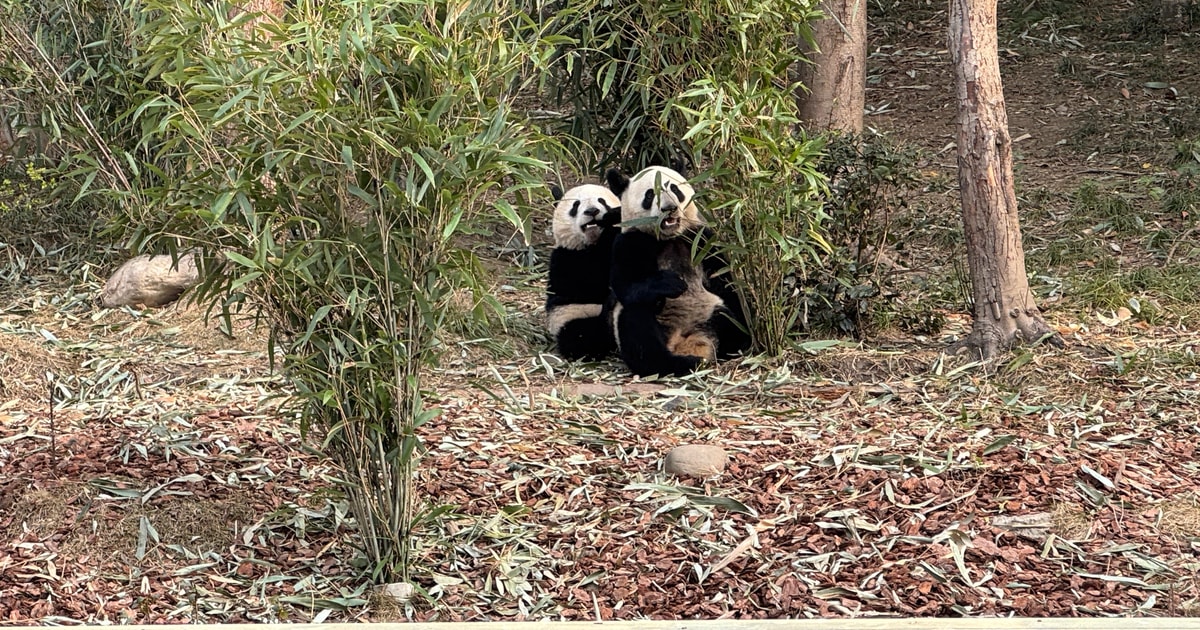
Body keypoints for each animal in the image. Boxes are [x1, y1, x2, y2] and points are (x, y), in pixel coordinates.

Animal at [545, 183, 623, 361]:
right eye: (575, 205)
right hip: (567, 315)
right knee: (580, 337)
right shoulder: (568, 259)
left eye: (602, 201)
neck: (592, 241)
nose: (592, 211)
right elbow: (592, 278)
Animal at [605, 165, 751, 377]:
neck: (670, 238)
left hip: (710, 312)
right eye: (650, 194)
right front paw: (673, 284)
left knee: (728, 322)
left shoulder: (700, 240)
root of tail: (683, 340)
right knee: (639, 330)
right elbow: (626, 284)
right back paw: (681, 363)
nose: (669, 208)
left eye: (674, 189)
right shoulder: (631, 241)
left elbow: (724, 280)